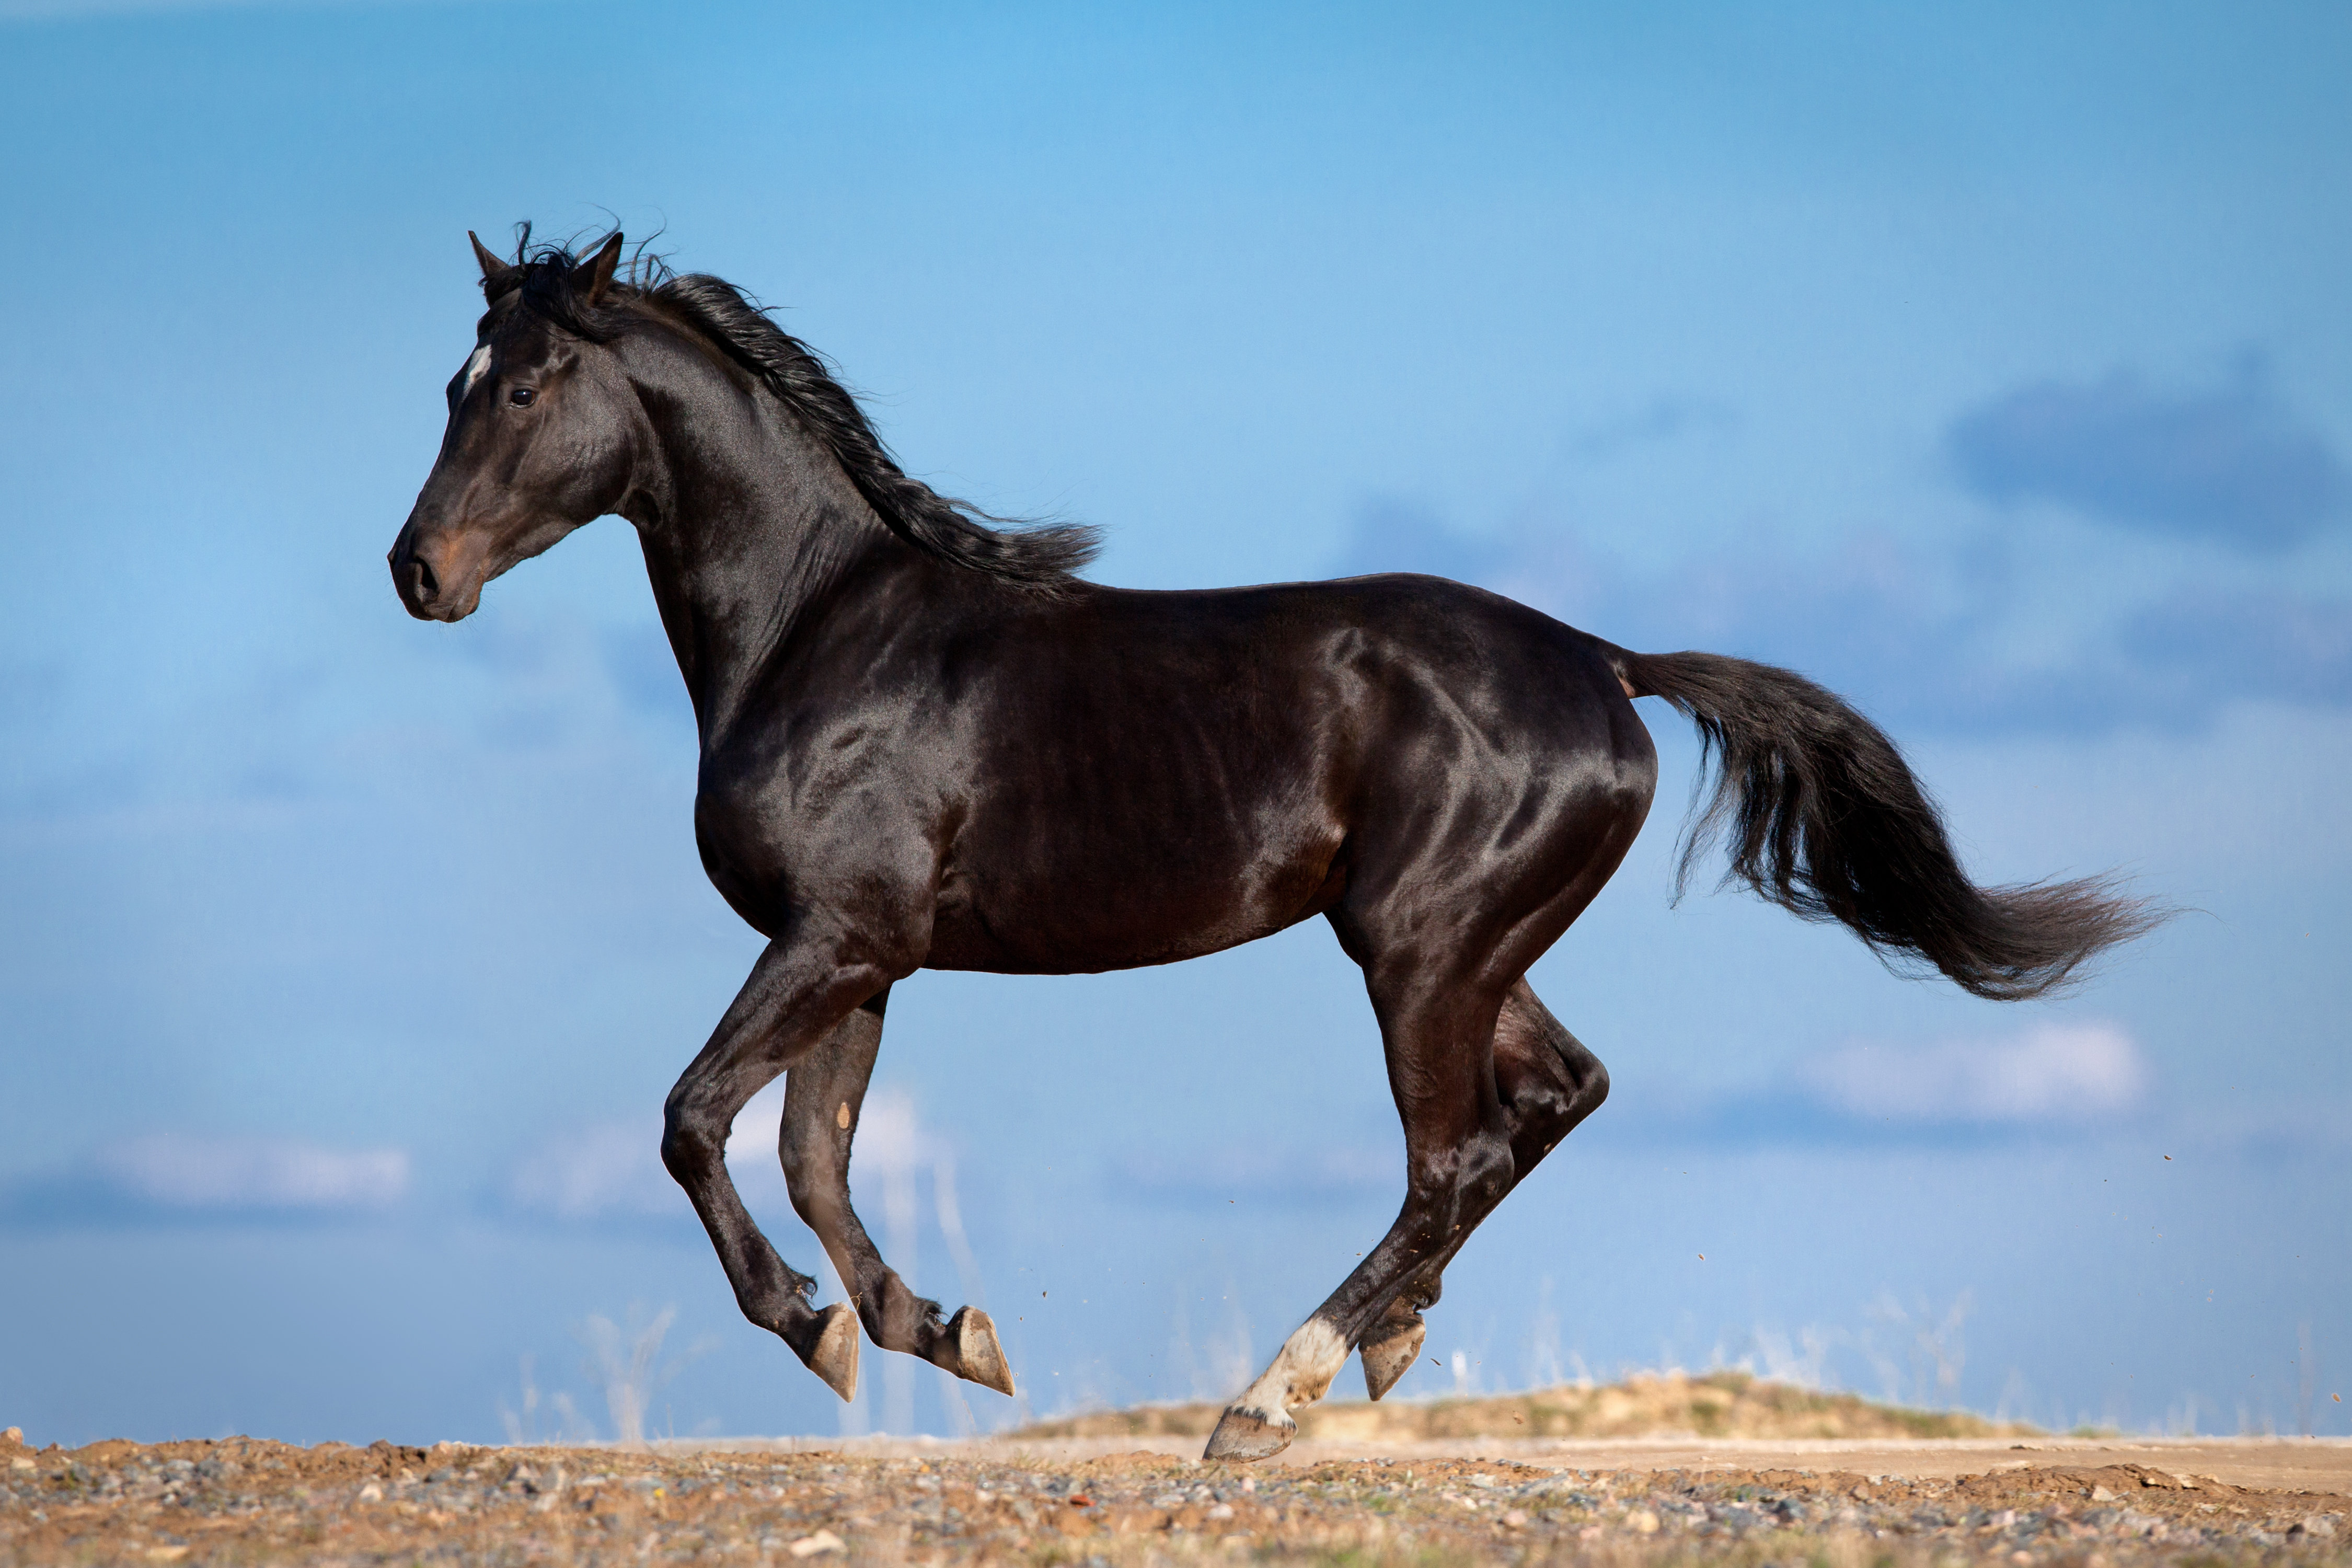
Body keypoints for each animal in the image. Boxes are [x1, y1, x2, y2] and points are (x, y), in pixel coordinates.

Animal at [387, 230, 2158, 1460]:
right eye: (451, 385)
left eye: (525, 388)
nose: (418, 571)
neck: (820, 632)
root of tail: (1607, 665)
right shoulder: (864, 956)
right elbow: (817, 1159)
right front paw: (929, 1331)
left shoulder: (834, 936)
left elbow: (695, 1123)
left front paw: (821, 1329)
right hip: (1467, 947)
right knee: (1554, 1099)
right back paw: (1379, 1346)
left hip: (1418, 953)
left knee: (1455, 1153)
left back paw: (1267, 1399)